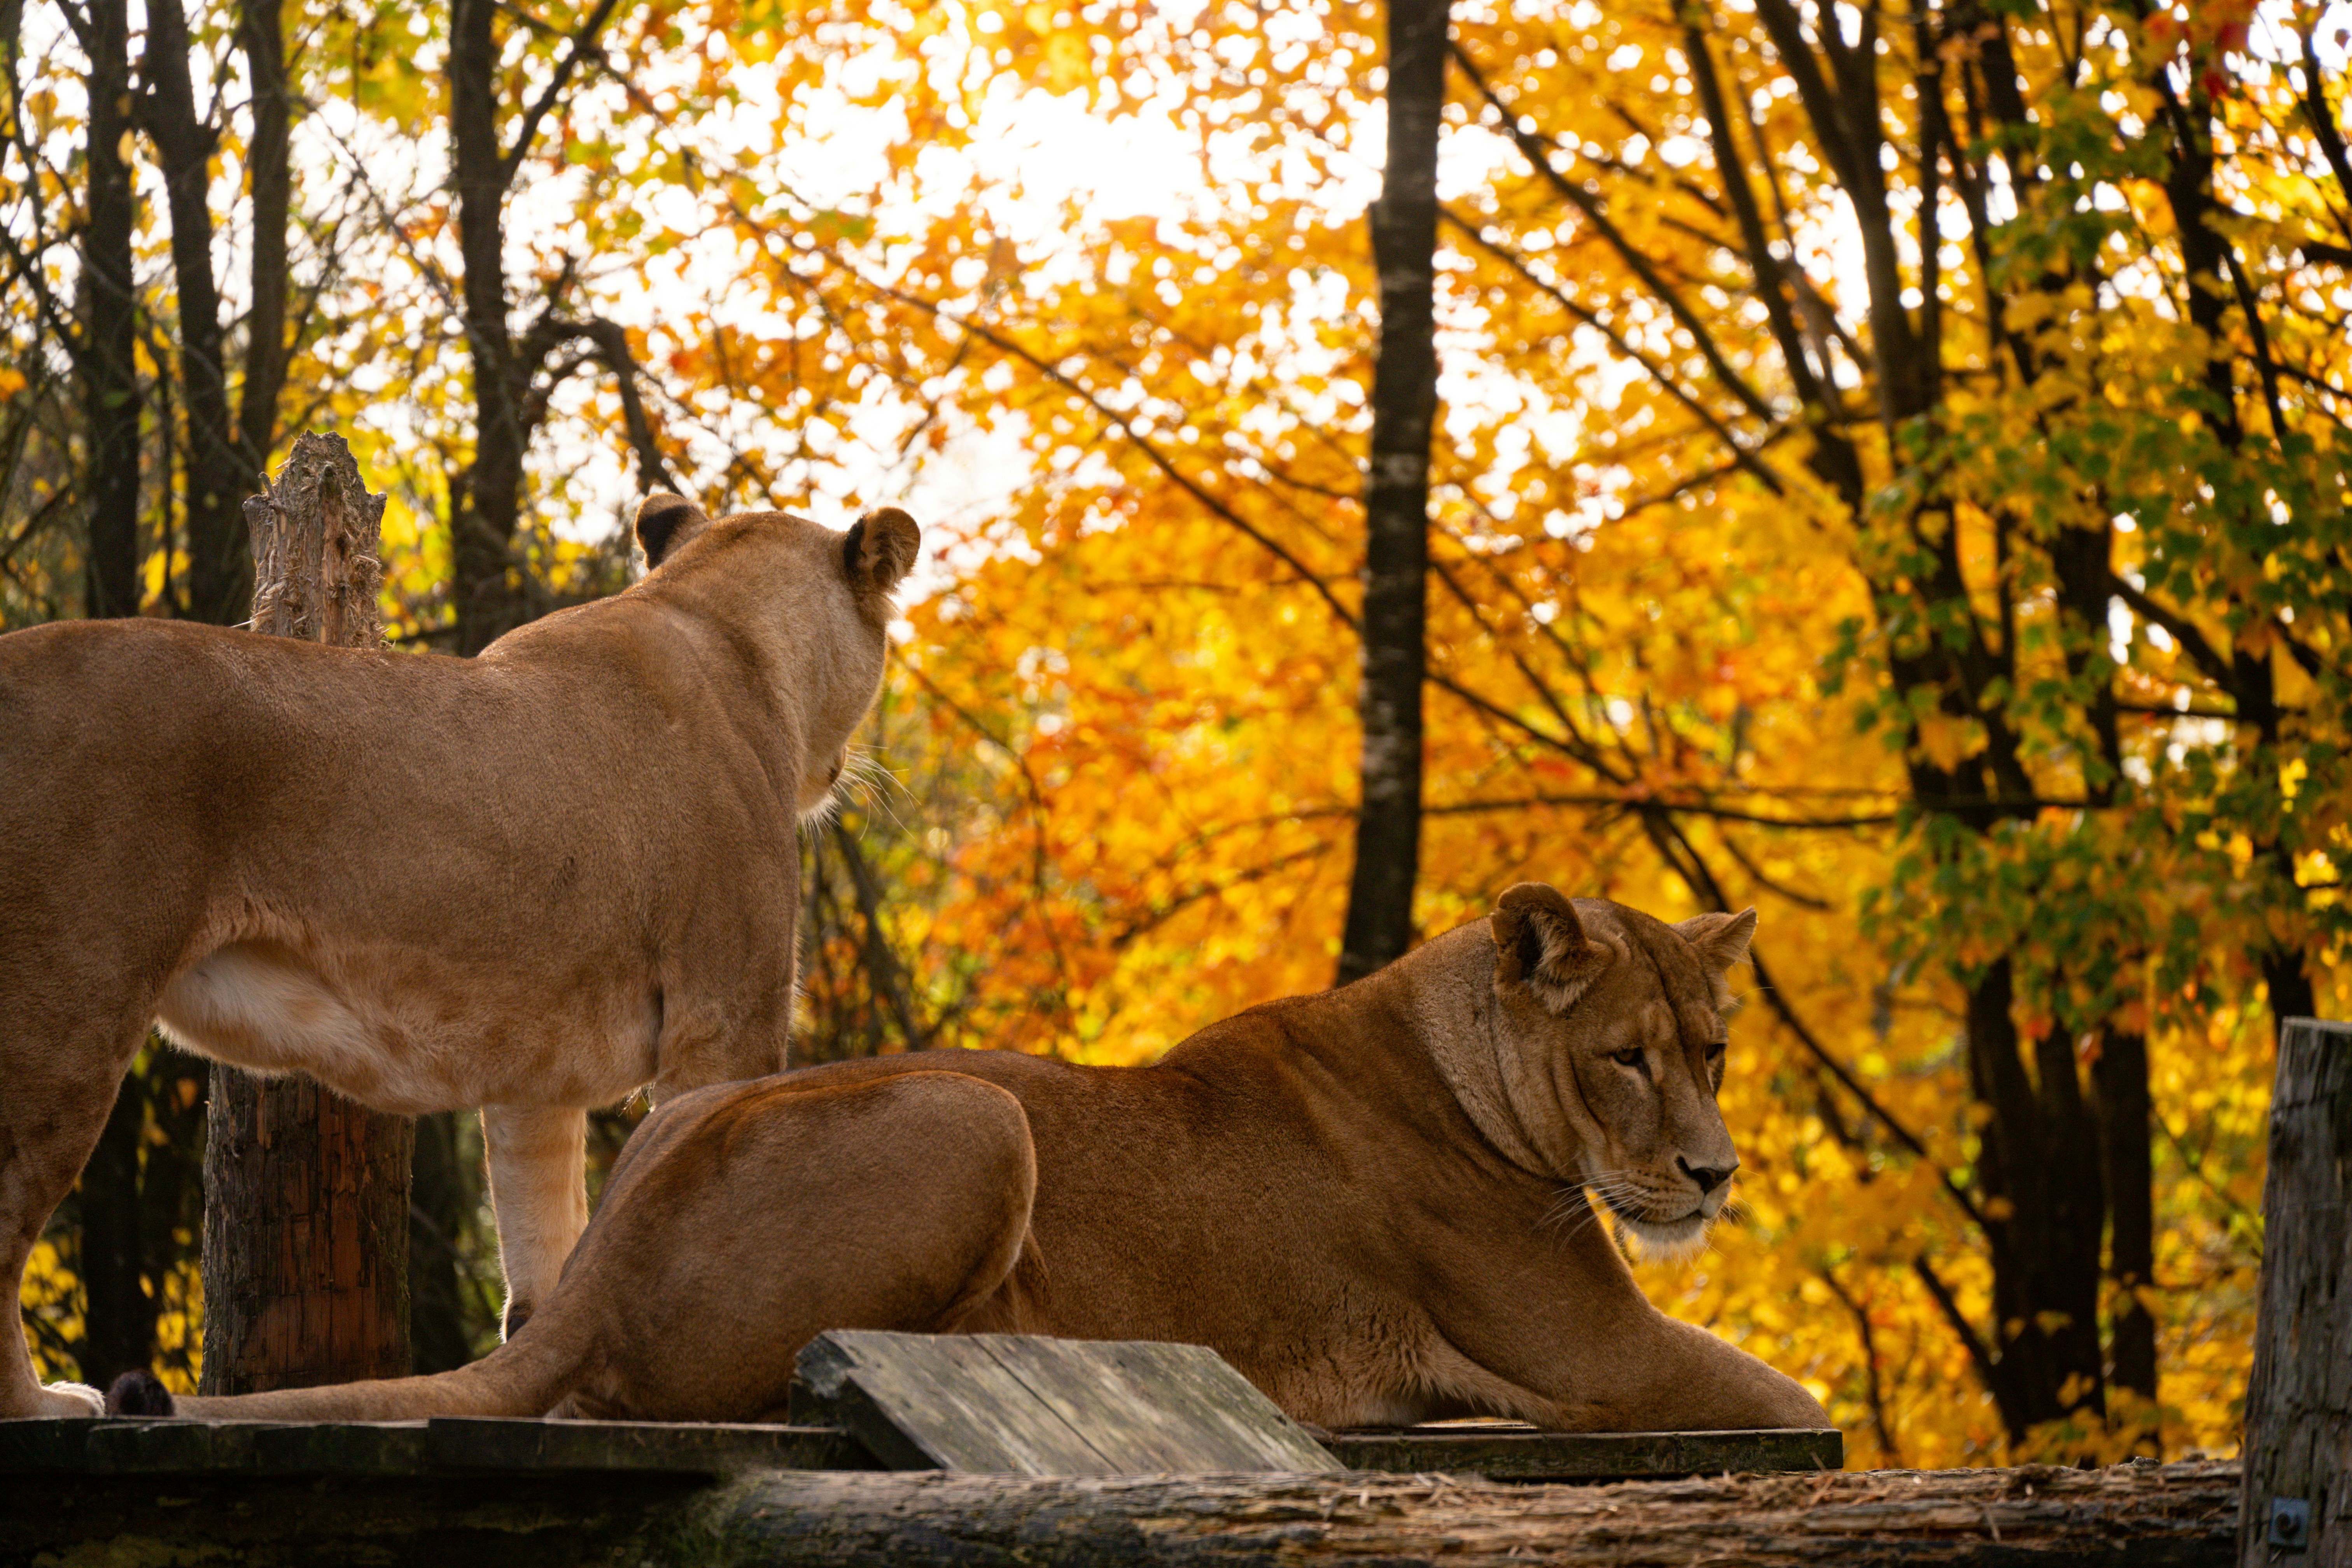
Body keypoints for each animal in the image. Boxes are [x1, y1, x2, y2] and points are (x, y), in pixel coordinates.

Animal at [1, 493, 920, 1419]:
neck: (729, 633)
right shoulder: (725, 1019)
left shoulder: (539, 1067)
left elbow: (541, 1256)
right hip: (66, 1010)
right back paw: (49, 1403)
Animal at [111, 886, 1828, 1435]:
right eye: (1627, 1058)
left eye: (1715, 1050)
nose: (1717, 1175)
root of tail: (597, 1268)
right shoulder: (1598, 1354)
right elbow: (1799, 1403)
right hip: (974, 1114)